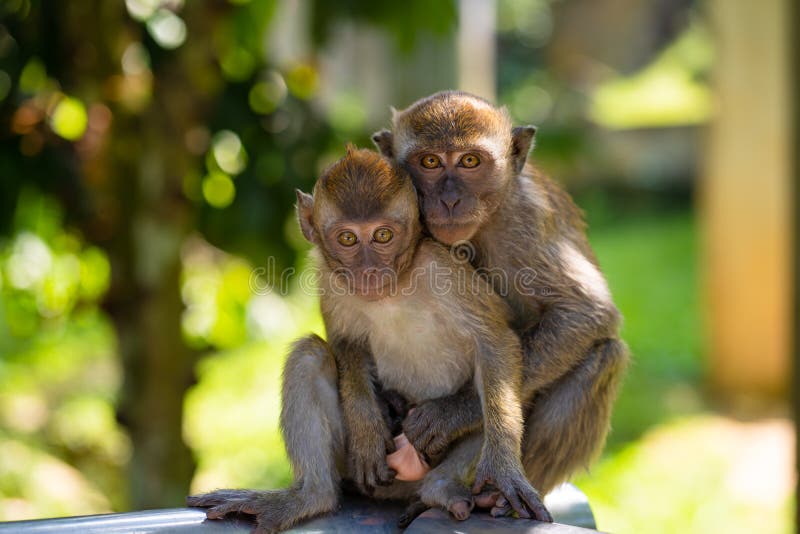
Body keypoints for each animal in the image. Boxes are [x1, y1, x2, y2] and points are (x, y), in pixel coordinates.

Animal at [187, 146, 553, 533]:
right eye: (348, 238)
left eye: (383, 236)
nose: (368, 270)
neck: (394, 288)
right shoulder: (329, 277)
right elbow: (344, 341)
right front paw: (367, 428)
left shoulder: (441, 267)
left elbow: (494, 342)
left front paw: (503, 471)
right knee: (308, 355)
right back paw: (310, 496)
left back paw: (442, 488)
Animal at [371, 91, 629, 507]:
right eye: (430, 162)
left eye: (470, 161)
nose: (450, 200)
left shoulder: (527, 220)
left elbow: (585, 312)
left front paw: (451, 413)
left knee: (606, 354)